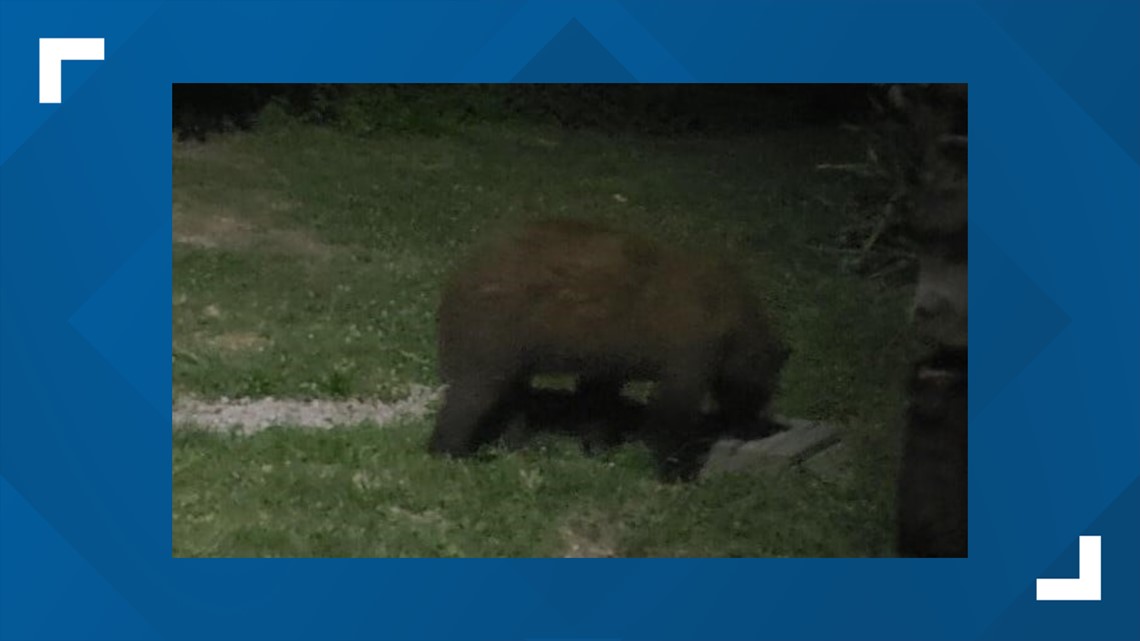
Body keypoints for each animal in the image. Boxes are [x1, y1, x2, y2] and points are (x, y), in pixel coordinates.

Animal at [427, 218, 790, 482]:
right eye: (763, 394)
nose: (754, 428)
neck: (732, 317)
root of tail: (454, 284)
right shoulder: (690, 345)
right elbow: (672, 409)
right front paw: (678, 471)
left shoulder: (607, 353)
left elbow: (598, 396)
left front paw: (598, 446)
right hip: (493, 335)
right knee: (471, 397)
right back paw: (448, 451)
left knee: (512, 398)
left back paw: (517, 442)